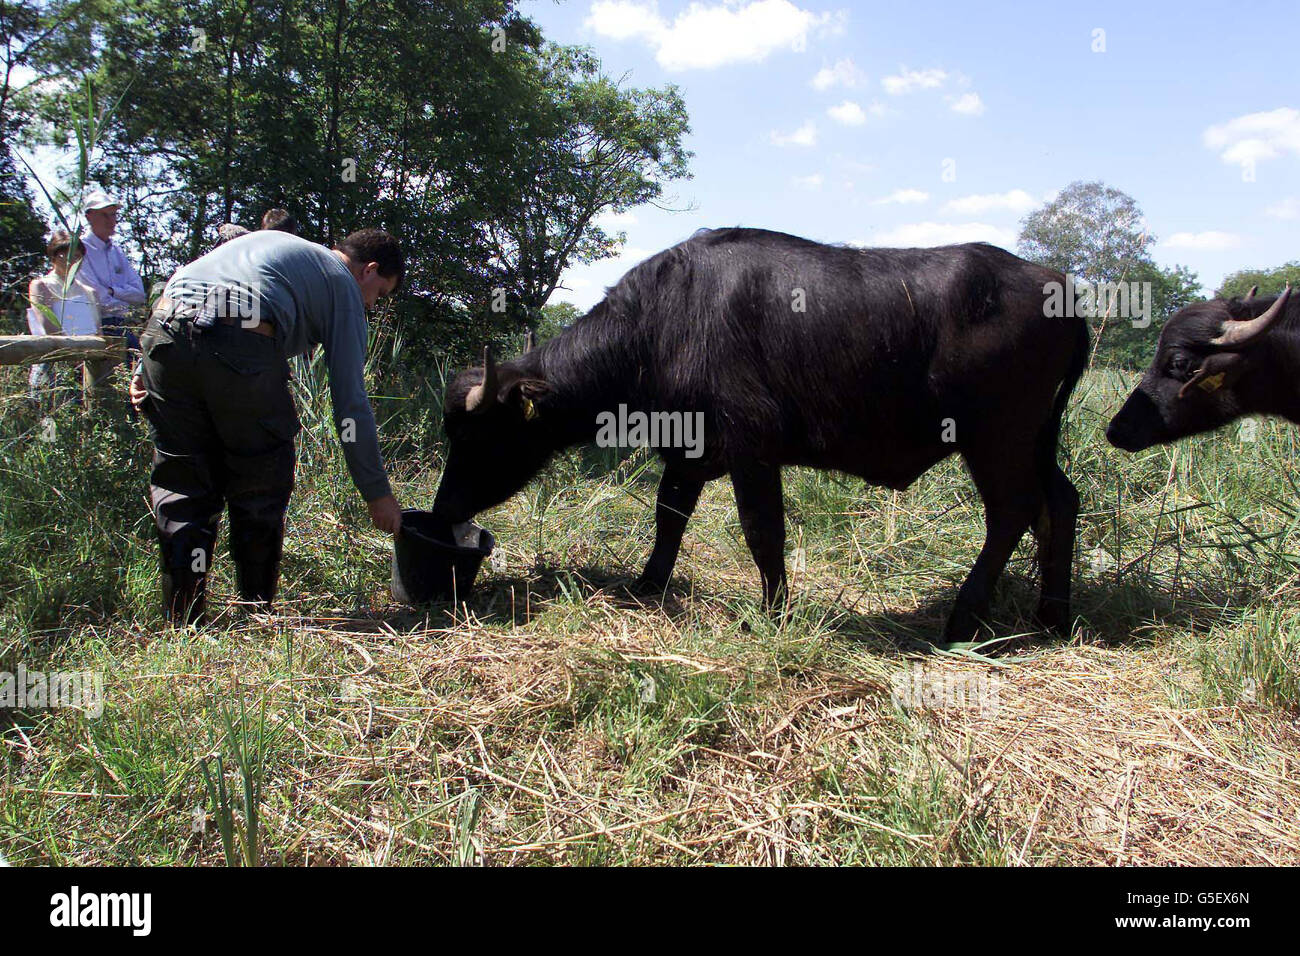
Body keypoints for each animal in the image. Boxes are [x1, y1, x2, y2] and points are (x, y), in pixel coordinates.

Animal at [433, 228, 1089, 645]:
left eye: (475, 438)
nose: (442, 510)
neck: (662, 325)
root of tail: (1061, 288)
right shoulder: (689, 451)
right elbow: (668, 517)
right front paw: (647, 585)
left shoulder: (752, 450)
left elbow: (762, 532)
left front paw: (774, 612)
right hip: (1035, 439)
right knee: (1059, 500)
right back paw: (1053, 615)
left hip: (997, 438)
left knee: (1011, 512)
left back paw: (962, 620)